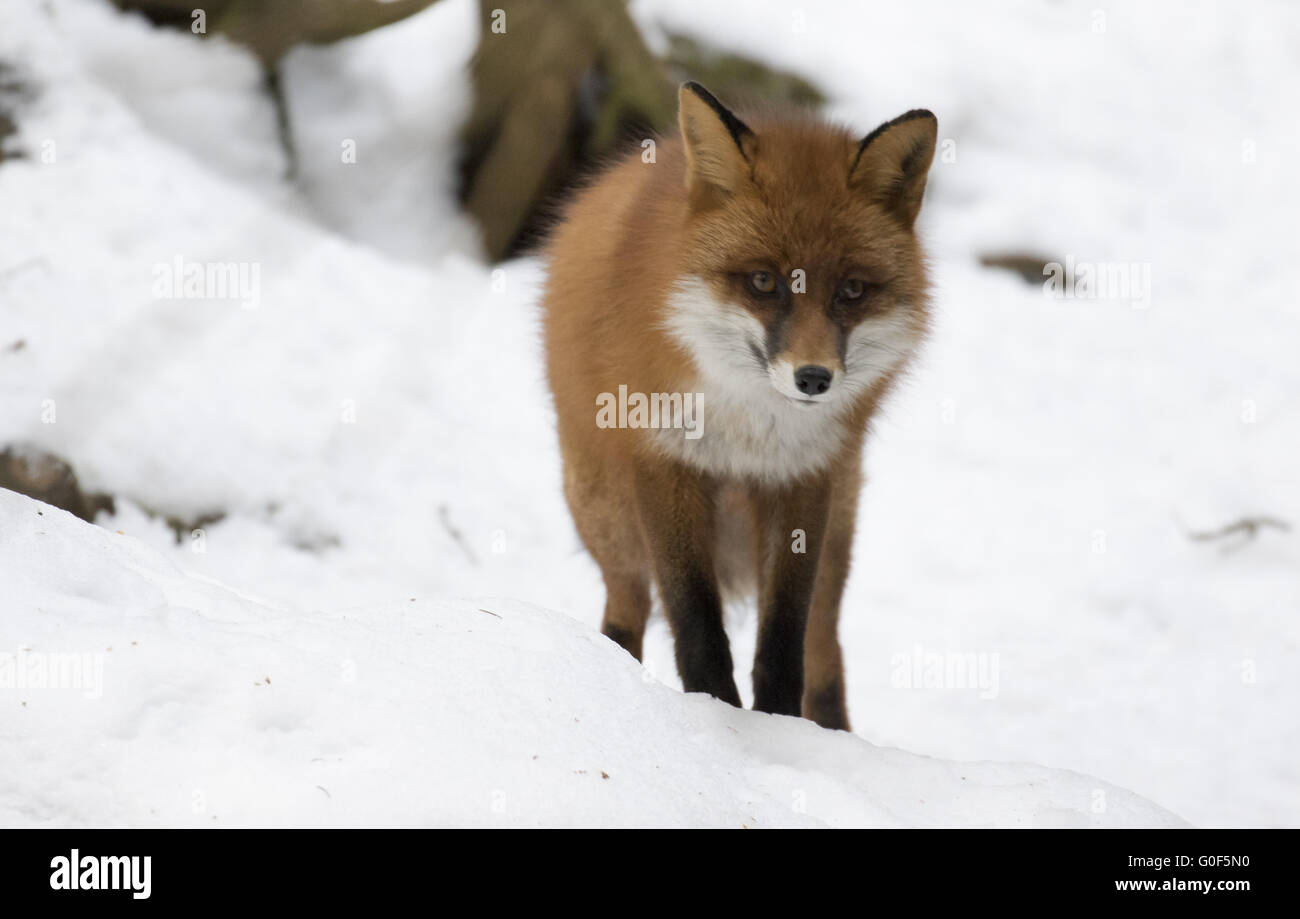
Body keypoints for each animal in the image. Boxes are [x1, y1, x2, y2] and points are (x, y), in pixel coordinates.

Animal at [541, 82, 936, 730]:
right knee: (626, 608)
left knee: (825, 643)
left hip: (840, 530)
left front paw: (779, 727)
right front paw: (717, 719)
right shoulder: (664, 462)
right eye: (763, 282)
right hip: (606, 512)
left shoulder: (804, 476)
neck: (750, 431)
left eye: (852, 290)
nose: (813, 378)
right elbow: (697, 625)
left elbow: (783, 640)